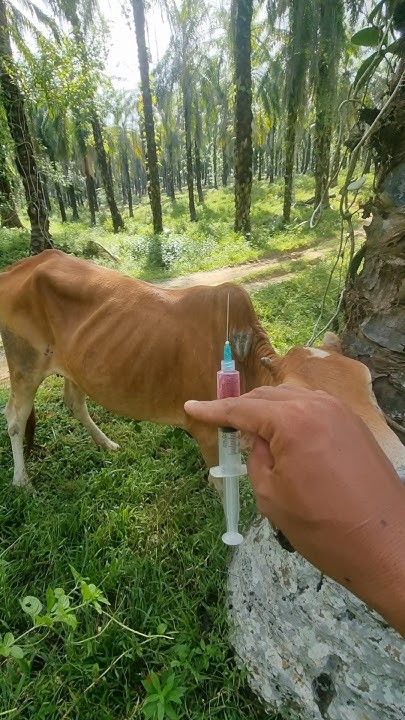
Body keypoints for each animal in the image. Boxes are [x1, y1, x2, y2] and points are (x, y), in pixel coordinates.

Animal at [0, 249, 404, 488]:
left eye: (369, 388)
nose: (395, 468)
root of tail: (24, 264)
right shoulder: (208, 434)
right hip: (24, 363)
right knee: (15, 418)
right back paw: (22, 480)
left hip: (76, 363)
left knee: (74, 401)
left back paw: (107, 443)